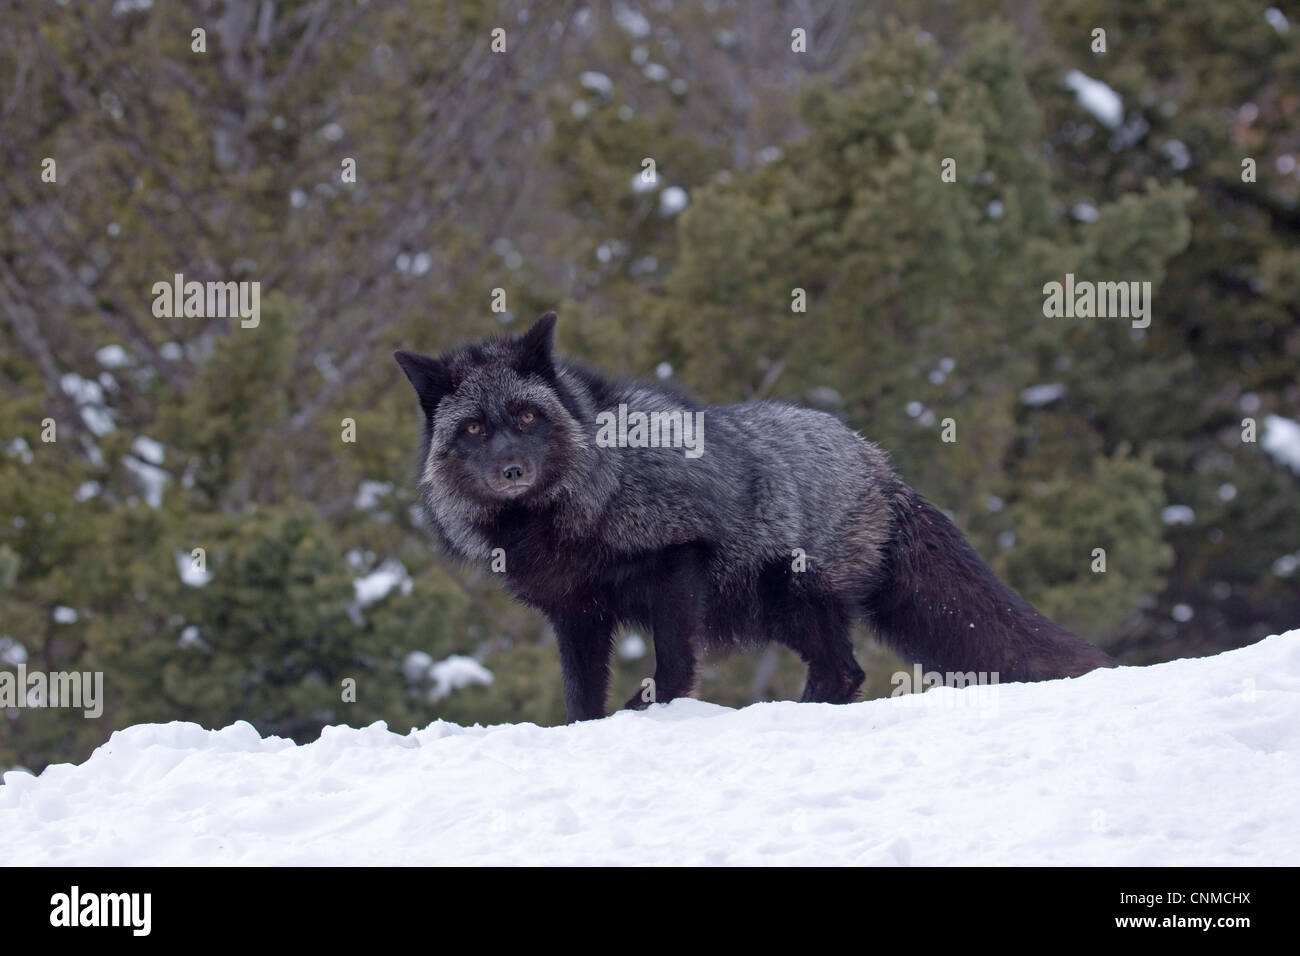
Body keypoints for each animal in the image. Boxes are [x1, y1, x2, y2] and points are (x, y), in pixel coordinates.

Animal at [395, 312, 1114, 721]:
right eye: (475, 428)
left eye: (525, 417)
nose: (512, 471)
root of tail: (880, 463)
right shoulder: (574, 611)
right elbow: (579, 694)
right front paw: (589, 729)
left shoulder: (678, 559)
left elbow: (673, 664)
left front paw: (648, 713)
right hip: (779, 608)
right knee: (842, 672)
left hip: (789, 592)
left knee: (844, 671)